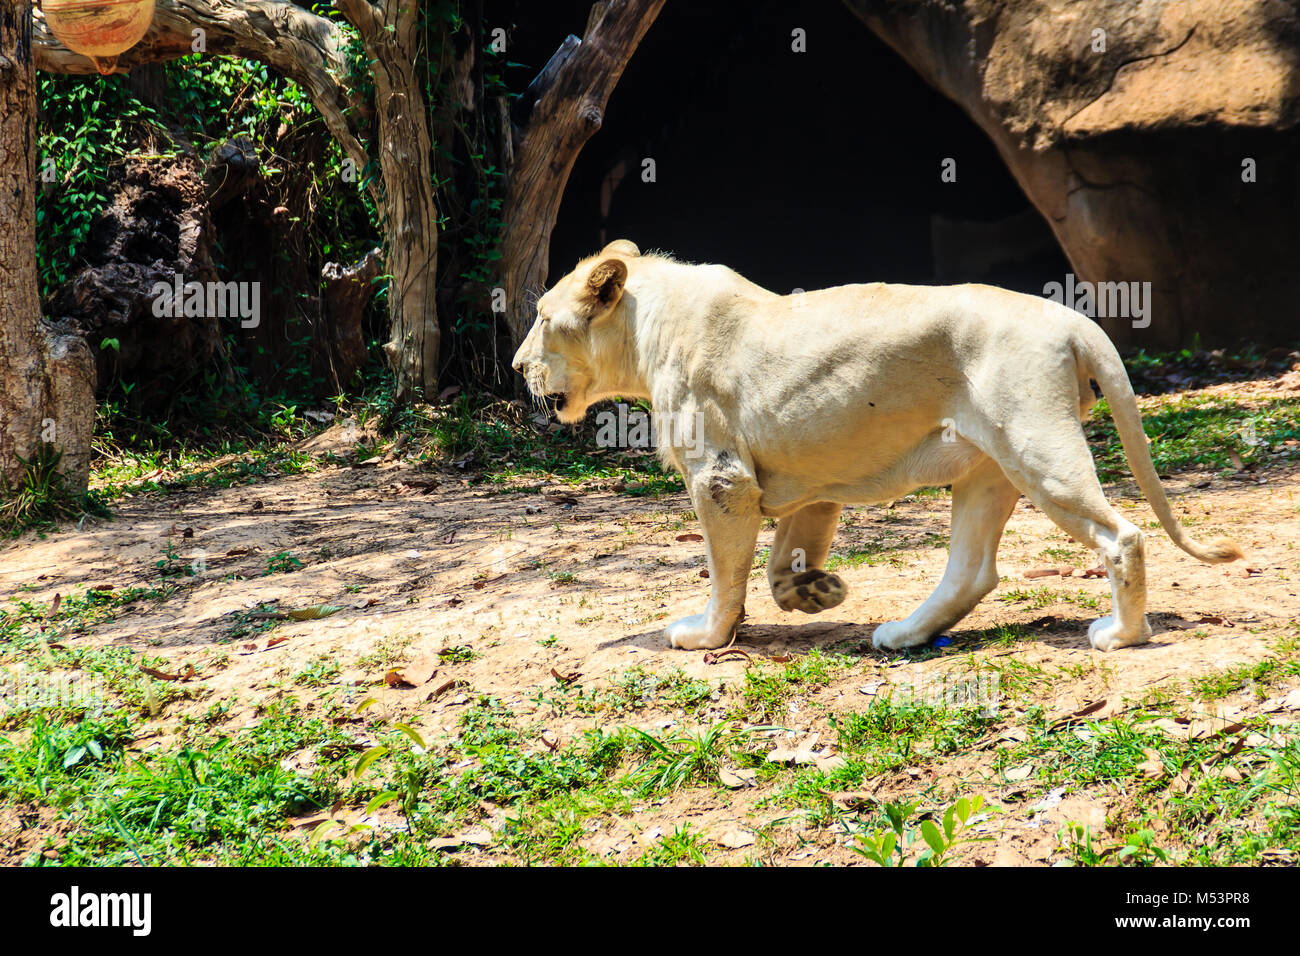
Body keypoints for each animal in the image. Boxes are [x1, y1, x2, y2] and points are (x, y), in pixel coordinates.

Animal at [512, 240, 1244, 652]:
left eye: (544, 319)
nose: (517, 367)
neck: (646, 325)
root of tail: (1070, 317)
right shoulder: (810, 479)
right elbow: (779, 564)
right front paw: (817, 593)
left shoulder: (720, 478)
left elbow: (725, 573)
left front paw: (708, 636)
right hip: (989, 465)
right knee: (972, 570)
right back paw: (901, 635)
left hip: (1037, 449)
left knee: (1122, 535)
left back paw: (1121, 635)